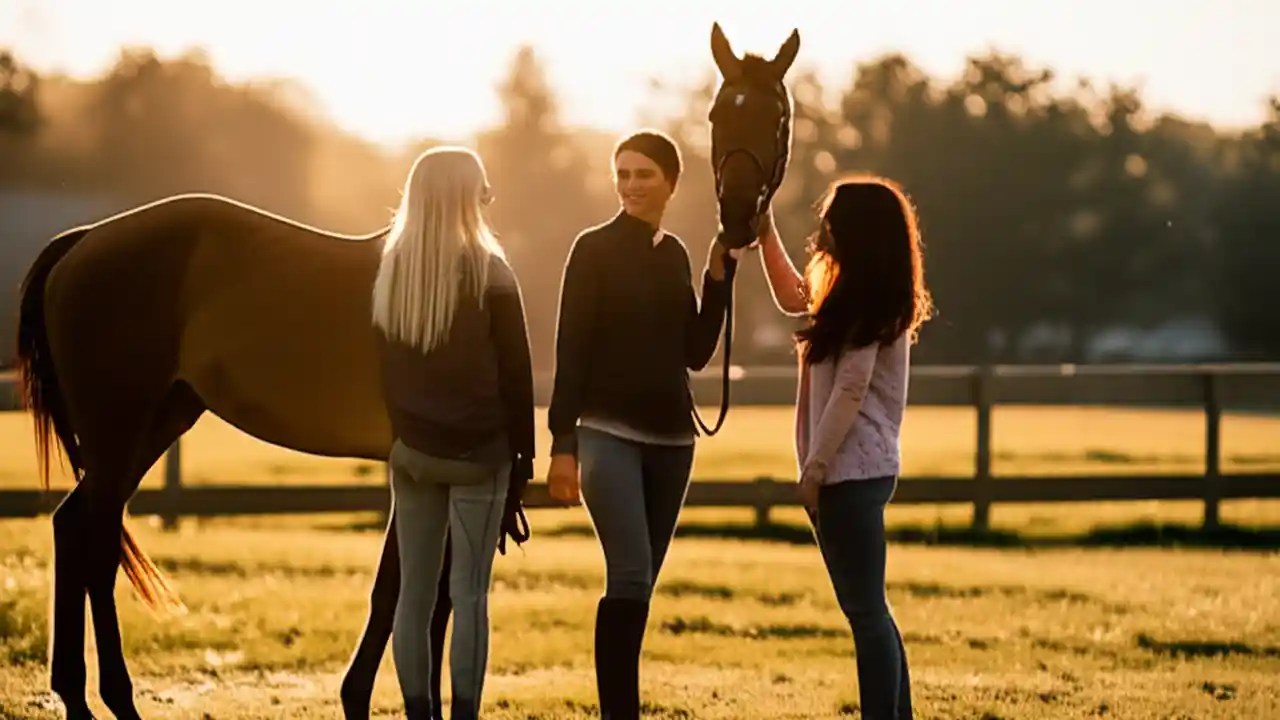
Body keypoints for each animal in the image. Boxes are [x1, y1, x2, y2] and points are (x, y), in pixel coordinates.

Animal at [14, 22, 798, 720]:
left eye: (778, 114)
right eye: (718, 112)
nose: (737, 217)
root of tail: (85, 240)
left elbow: (422, 591)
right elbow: (410, 591)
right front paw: (367, 698)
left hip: (160, 417)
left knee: (78, 524)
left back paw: (81, 697)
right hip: (121, 426)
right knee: (93, 533)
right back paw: (114, 698)